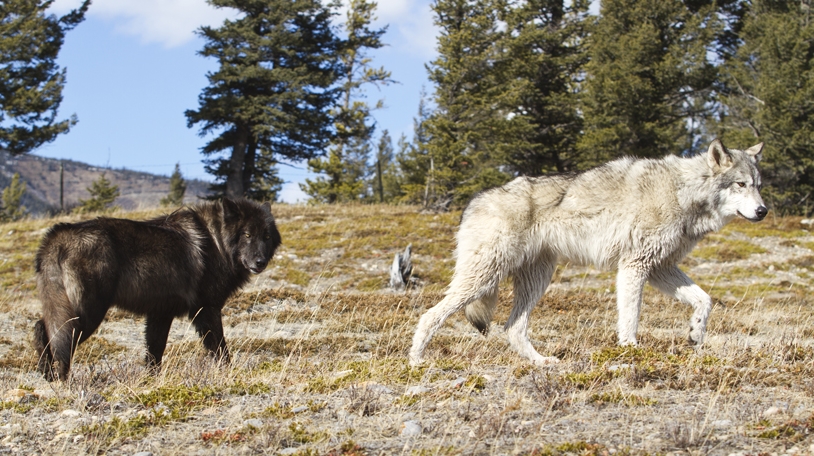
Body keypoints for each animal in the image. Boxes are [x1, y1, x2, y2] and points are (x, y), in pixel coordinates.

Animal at [33, 198, 281, 381]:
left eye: (266, 236)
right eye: (247, 235)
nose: (260, 262)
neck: (217, 242)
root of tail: (57, 236)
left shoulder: (160, 314)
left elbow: (154, 352)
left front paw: (152, 381)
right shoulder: (206, 311)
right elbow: (220, 349)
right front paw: (230, 373)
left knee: (40, 328)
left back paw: (48, 377)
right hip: (88, 315)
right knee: (57, 338)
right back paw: (62, 380)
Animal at [410, 139, 767, 366]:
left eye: (759, 185)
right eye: (740, 184)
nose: (763, 211)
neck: (684, 192)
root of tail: (473, 201)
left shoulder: (660, 268)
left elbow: (705, 300)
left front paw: (695, 334)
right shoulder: (635, 265)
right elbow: (631, 318)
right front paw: (632, 353)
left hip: (535, 280)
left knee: (513, 329)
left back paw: (542, 363)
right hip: (484, 278)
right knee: (429, 315)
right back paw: (415, 362)